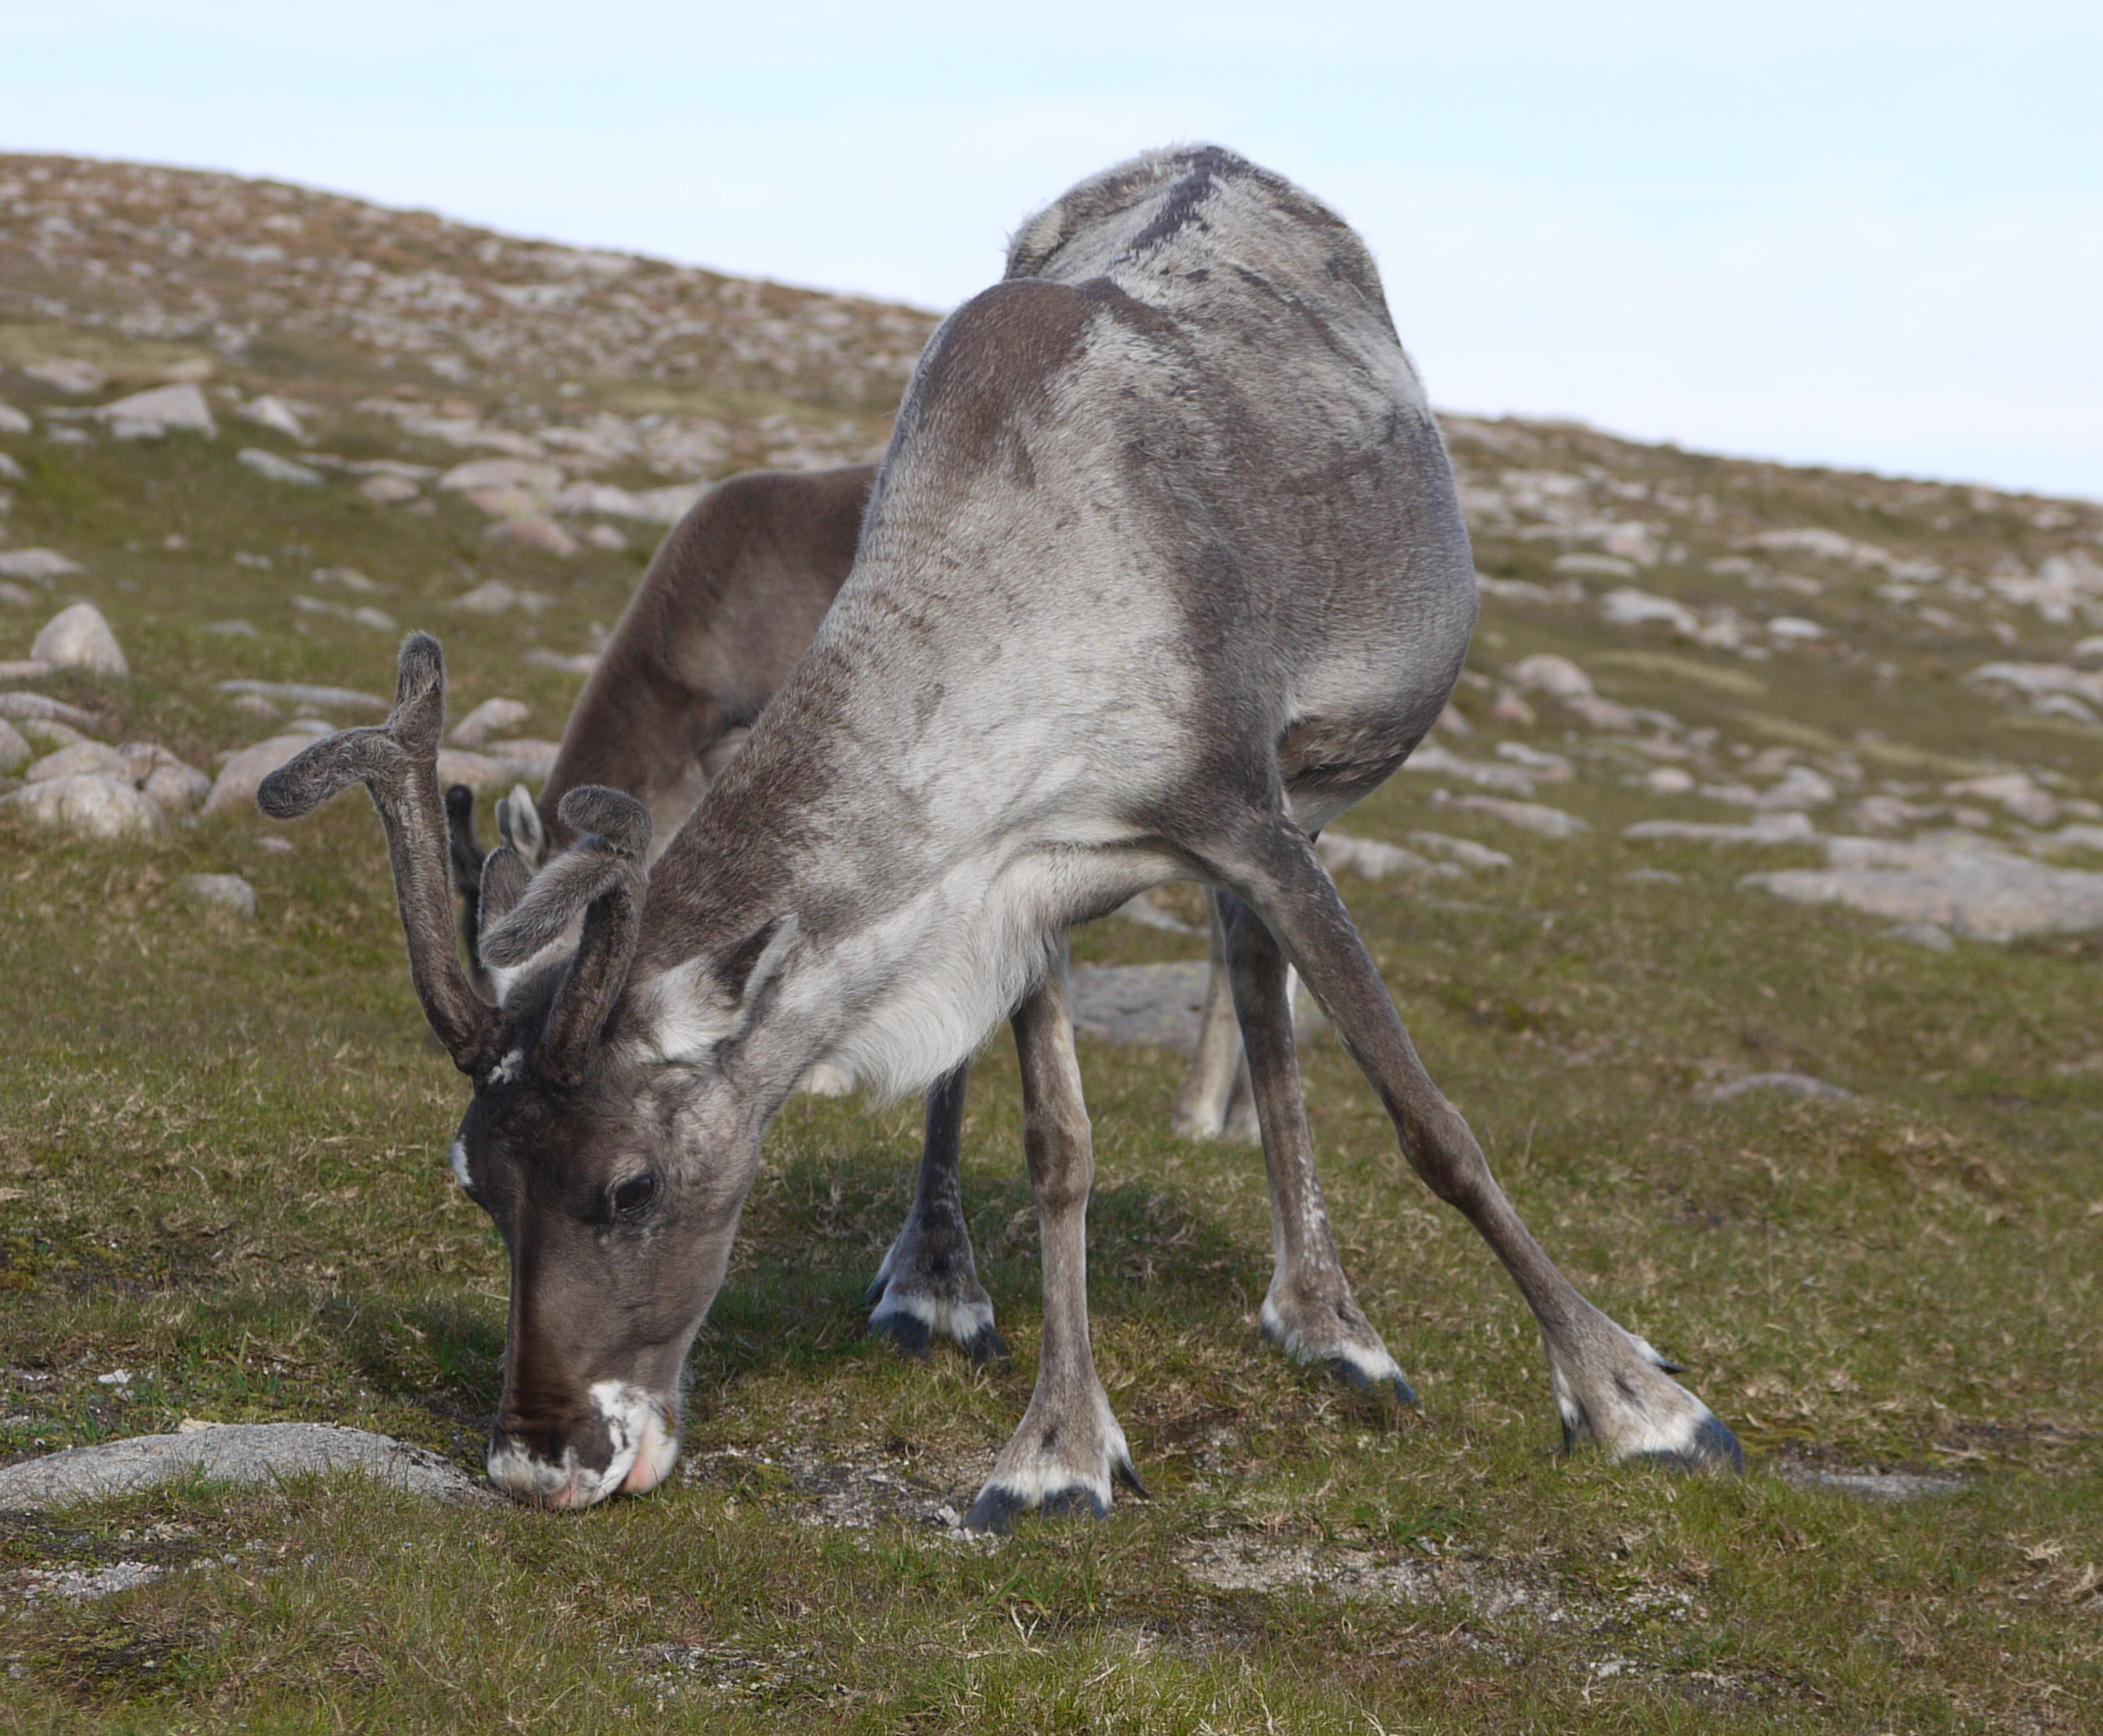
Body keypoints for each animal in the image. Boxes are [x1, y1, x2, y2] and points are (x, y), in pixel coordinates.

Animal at [260, 146, 1740, 1527]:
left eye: (629, 1185)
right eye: (475, 1181)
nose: (536, 1459)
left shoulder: (1239, 812)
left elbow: (1433, 1122)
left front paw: (1634, 1399)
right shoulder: (1014, 876)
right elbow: (1056, 1147)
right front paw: (1060, 1443)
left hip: (1302, 792)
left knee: (1269, 1001)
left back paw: (1333, 1319)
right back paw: (1042, 1286)